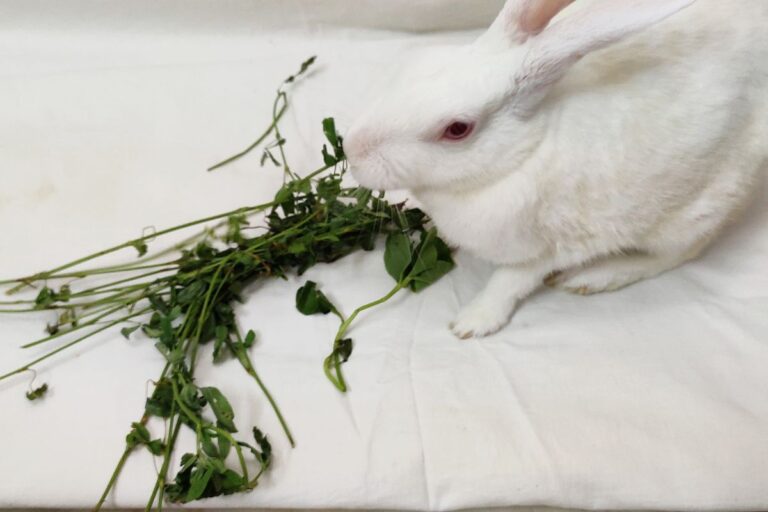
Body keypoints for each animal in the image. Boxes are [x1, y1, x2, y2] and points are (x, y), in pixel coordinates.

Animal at [344, 0, 768, 339]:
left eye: (457, 129)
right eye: (418, 64)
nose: (352, 149)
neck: (526, 150)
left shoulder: (551, 248)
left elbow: (508, 282)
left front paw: (472, 322)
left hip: (696, 209)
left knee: (679, 253)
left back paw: (597, 277)